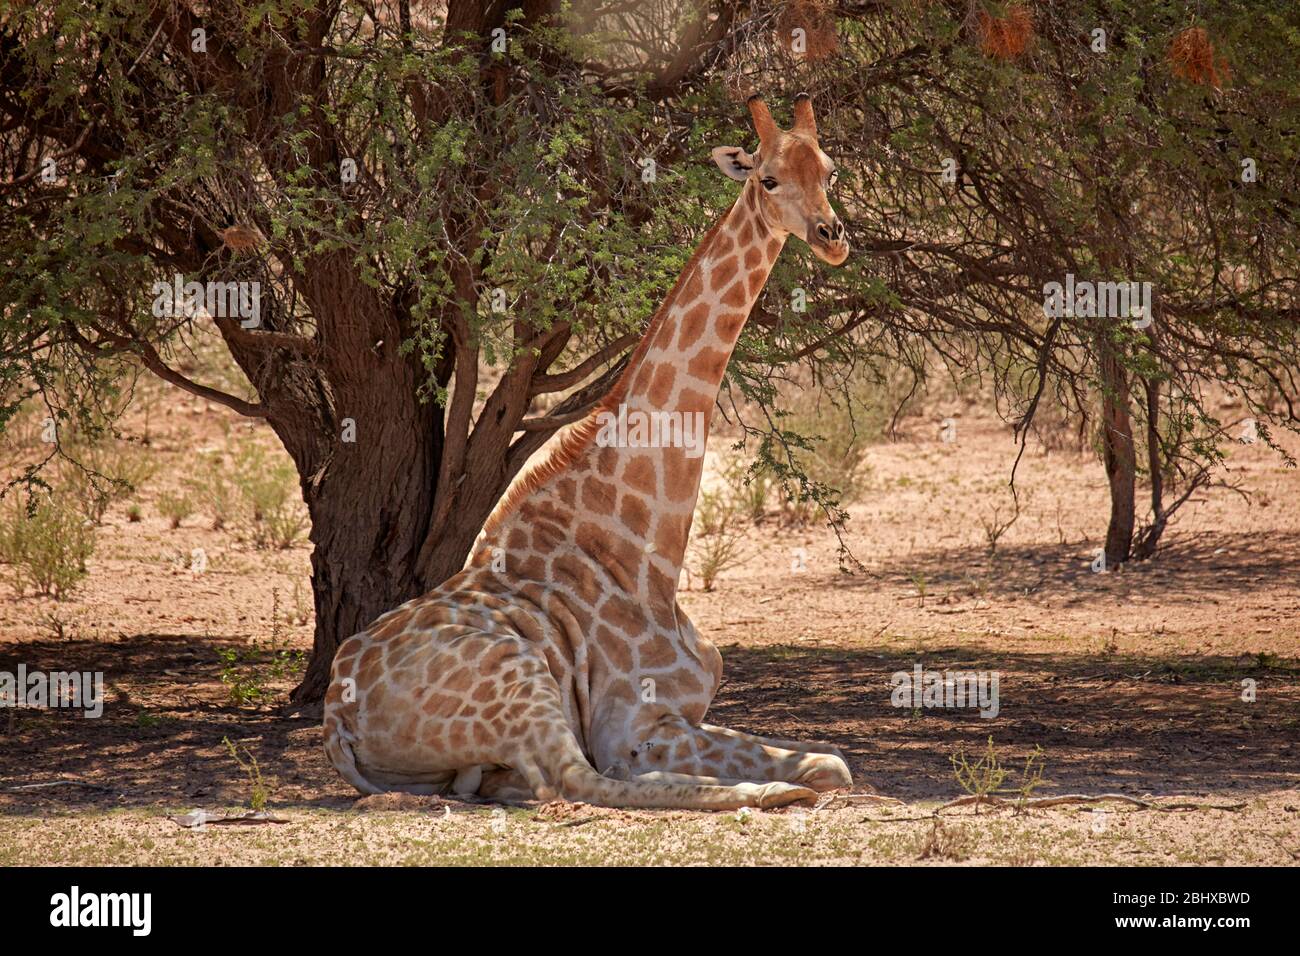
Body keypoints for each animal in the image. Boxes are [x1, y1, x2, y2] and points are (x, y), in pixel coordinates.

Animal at [323, 94, 853, 810]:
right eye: (768, 179)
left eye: (828, 167)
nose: (832, 236)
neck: (646, 552)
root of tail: (336, 716)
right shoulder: (634, 726)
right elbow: (825, 764)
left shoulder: (689, 712)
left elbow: (830, 759)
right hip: (518, 674)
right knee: (575, 782)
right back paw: (763, 793)